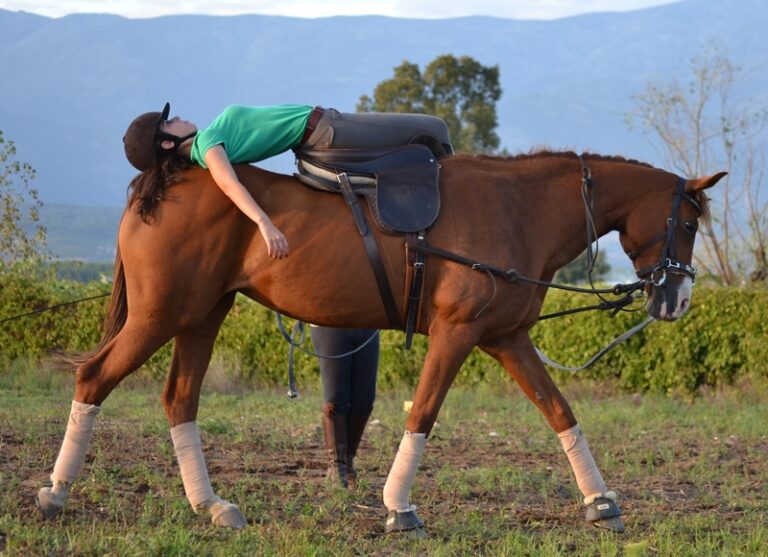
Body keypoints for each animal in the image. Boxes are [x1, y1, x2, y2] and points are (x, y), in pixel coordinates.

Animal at [37, 150, 724, 534]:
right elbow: (423, 415)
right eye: (689, 223)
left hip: (203, 315)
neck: (515, 208)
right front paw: (399, 509)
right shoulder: (457, 334)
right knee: (94, 379)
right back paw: (56, 493)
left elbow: (561, 411)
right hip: (161, 314)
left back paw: (211, 507)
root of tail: (162, 180)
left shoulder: (507, 338)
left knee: (180, 400)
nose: (678, 301)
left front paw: (601, 501)